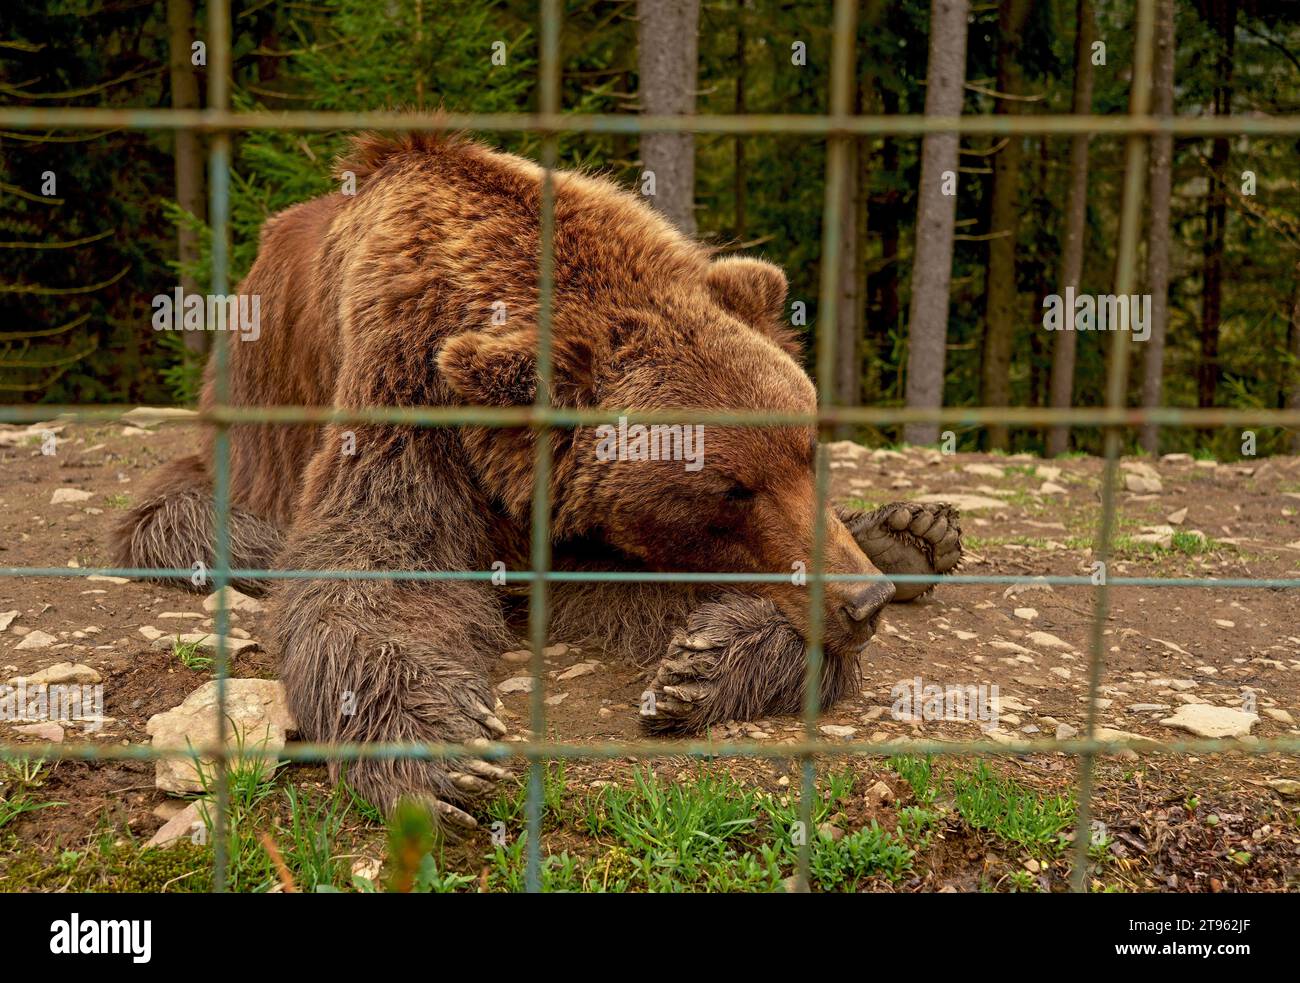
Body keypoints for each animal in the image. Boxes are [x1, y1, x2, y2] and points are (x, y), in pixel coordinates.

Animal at [113, 132, 963, 828]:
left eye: (807, 449)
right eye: (728, 490)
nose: (864, 600)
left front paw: (709, 656)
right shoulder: (408, 392)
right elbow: (382, 566)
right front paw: (446, 746)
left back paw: (913, 538)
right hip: (257, 410)